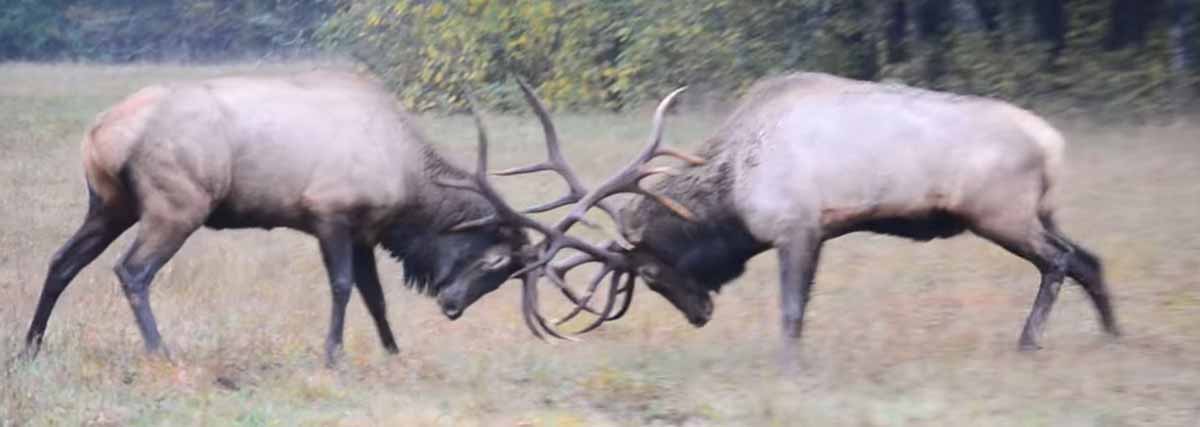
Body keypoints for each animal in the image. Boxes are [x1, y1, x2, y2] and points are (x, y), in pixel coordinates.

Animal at [20, 70, 579, 366]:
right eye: (496, 262)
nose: (452, 305)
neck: (406, 187)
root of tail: (100, 133)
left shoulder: (364, 232)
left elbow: (375, 298)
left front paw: (393, 352)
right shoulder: (330, 212)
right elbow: (342, 287)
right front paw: (332, 355)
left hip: (110, 203)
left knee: (62, 260)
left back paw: (30, 346)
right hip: (176, 203)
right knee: (132, 270)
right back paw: (162, 352)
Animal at [501, 72, 1120, 355]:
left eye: (652, 273)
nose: (701, 314)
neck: (732, 195)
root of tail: (1053, 144)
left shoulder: (795, 226)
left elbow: (792, 311)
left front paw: (789, 370)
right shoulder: (816, 230)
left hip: (1001, 213)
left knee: (1059, 261)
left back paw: (1029, 341)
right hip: (1038, 211)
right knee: (1089, 259)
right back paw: (1113, 334)